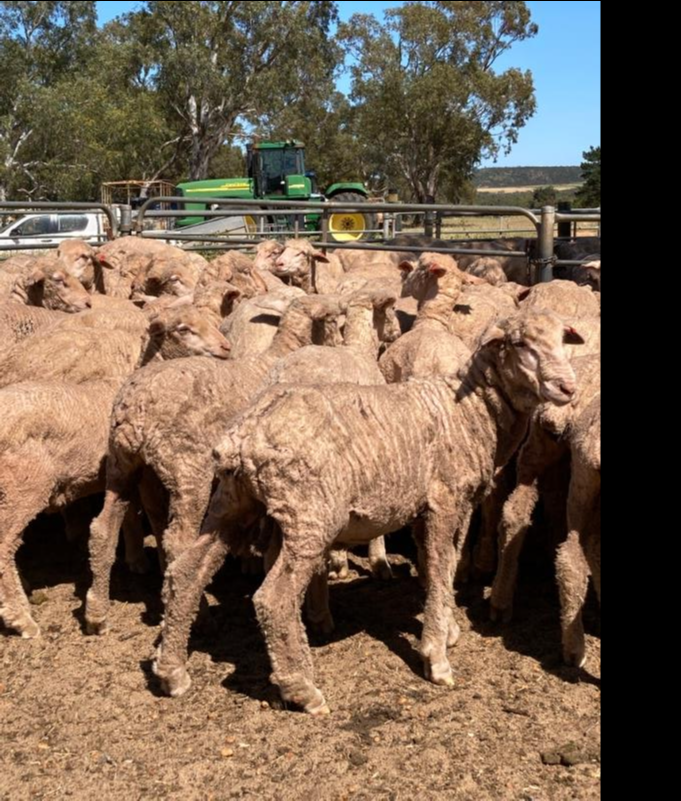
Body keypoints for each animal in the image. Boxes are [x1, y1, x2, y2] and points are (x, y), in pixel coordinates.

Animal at [84, 295, 345, 635]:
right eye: (184, 329)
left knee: (103, 528)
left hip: (121, 464)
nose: (225, 347)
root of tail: (136, 407)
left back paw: (96, 613)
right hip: (188, 470)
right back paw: (200, 613)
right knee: (178, 542)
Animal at [153, 309, 584, 712]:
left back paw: (172, 671)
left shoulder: (443, 507)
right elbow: (441, 567)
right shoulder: (444, 502)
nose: (568, 387)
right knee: (273, 600)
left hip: (232, 503)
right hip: (310, 514)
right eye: (520, 343)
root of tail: (243, 436)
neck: (473, 413)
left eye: (564, 339)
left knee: (186, 573)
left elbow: (438, 566)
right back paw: (302, 688)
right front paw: (436, 658)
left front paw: (445, 628)